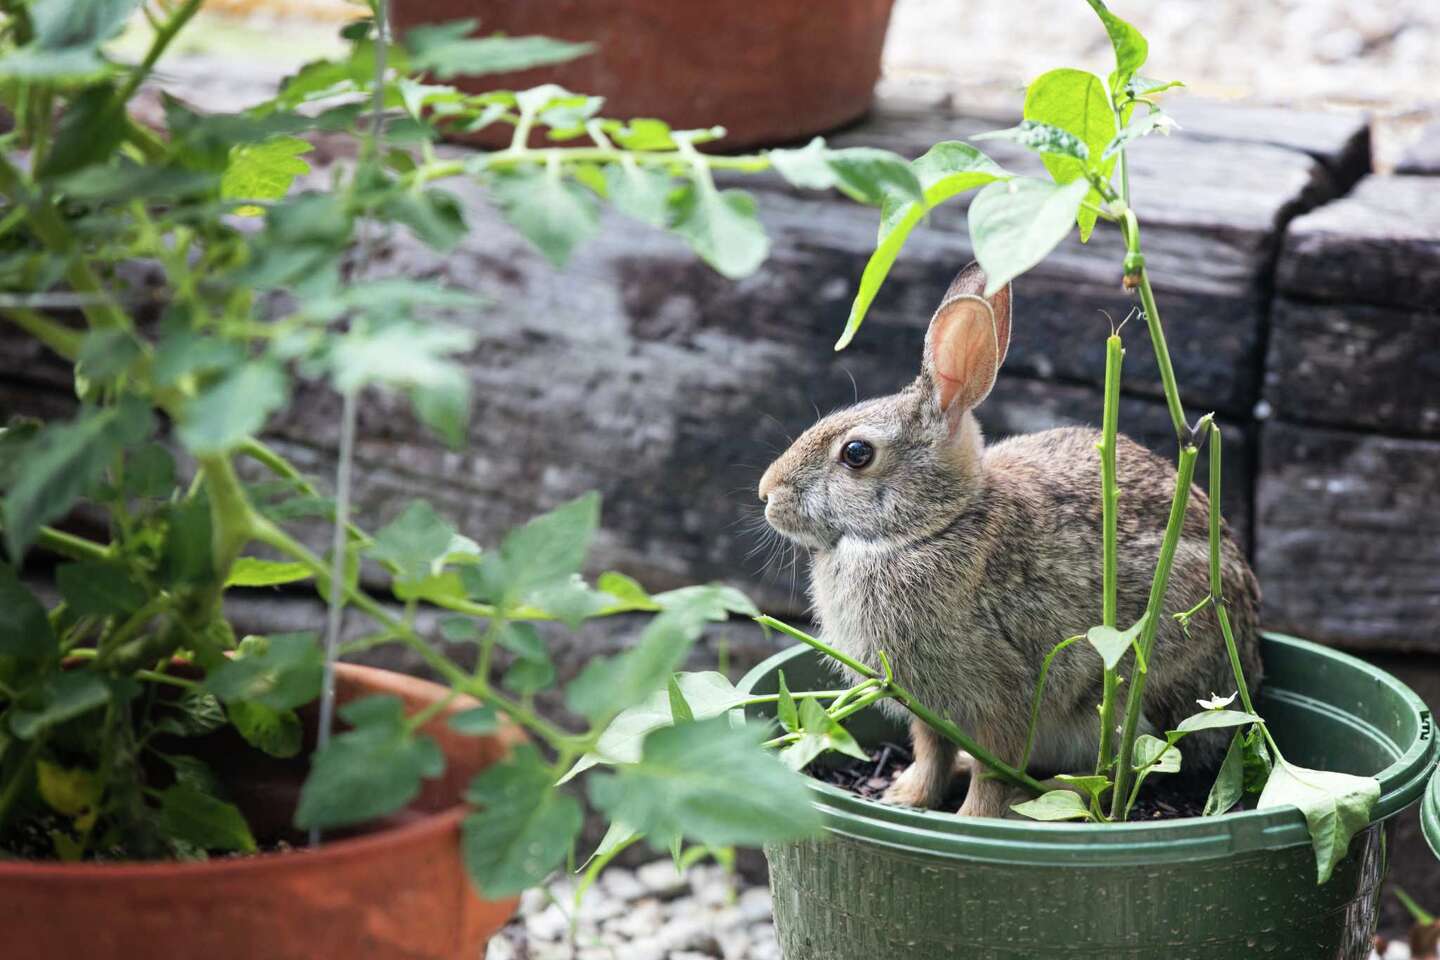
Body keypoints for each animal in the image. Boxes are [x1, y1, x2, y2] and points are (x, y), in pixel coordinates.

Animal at [757, 262, 1262, 818]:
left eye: (856, 453)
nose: (766, 493)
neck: (933, 525)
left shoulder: (1004, 694)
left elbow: (993, 769)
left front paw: (970, 818)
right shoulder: (927, 705)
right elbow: (930, 750)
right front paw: (906, 798)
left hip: (1138, 691)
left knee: (1129, 769)